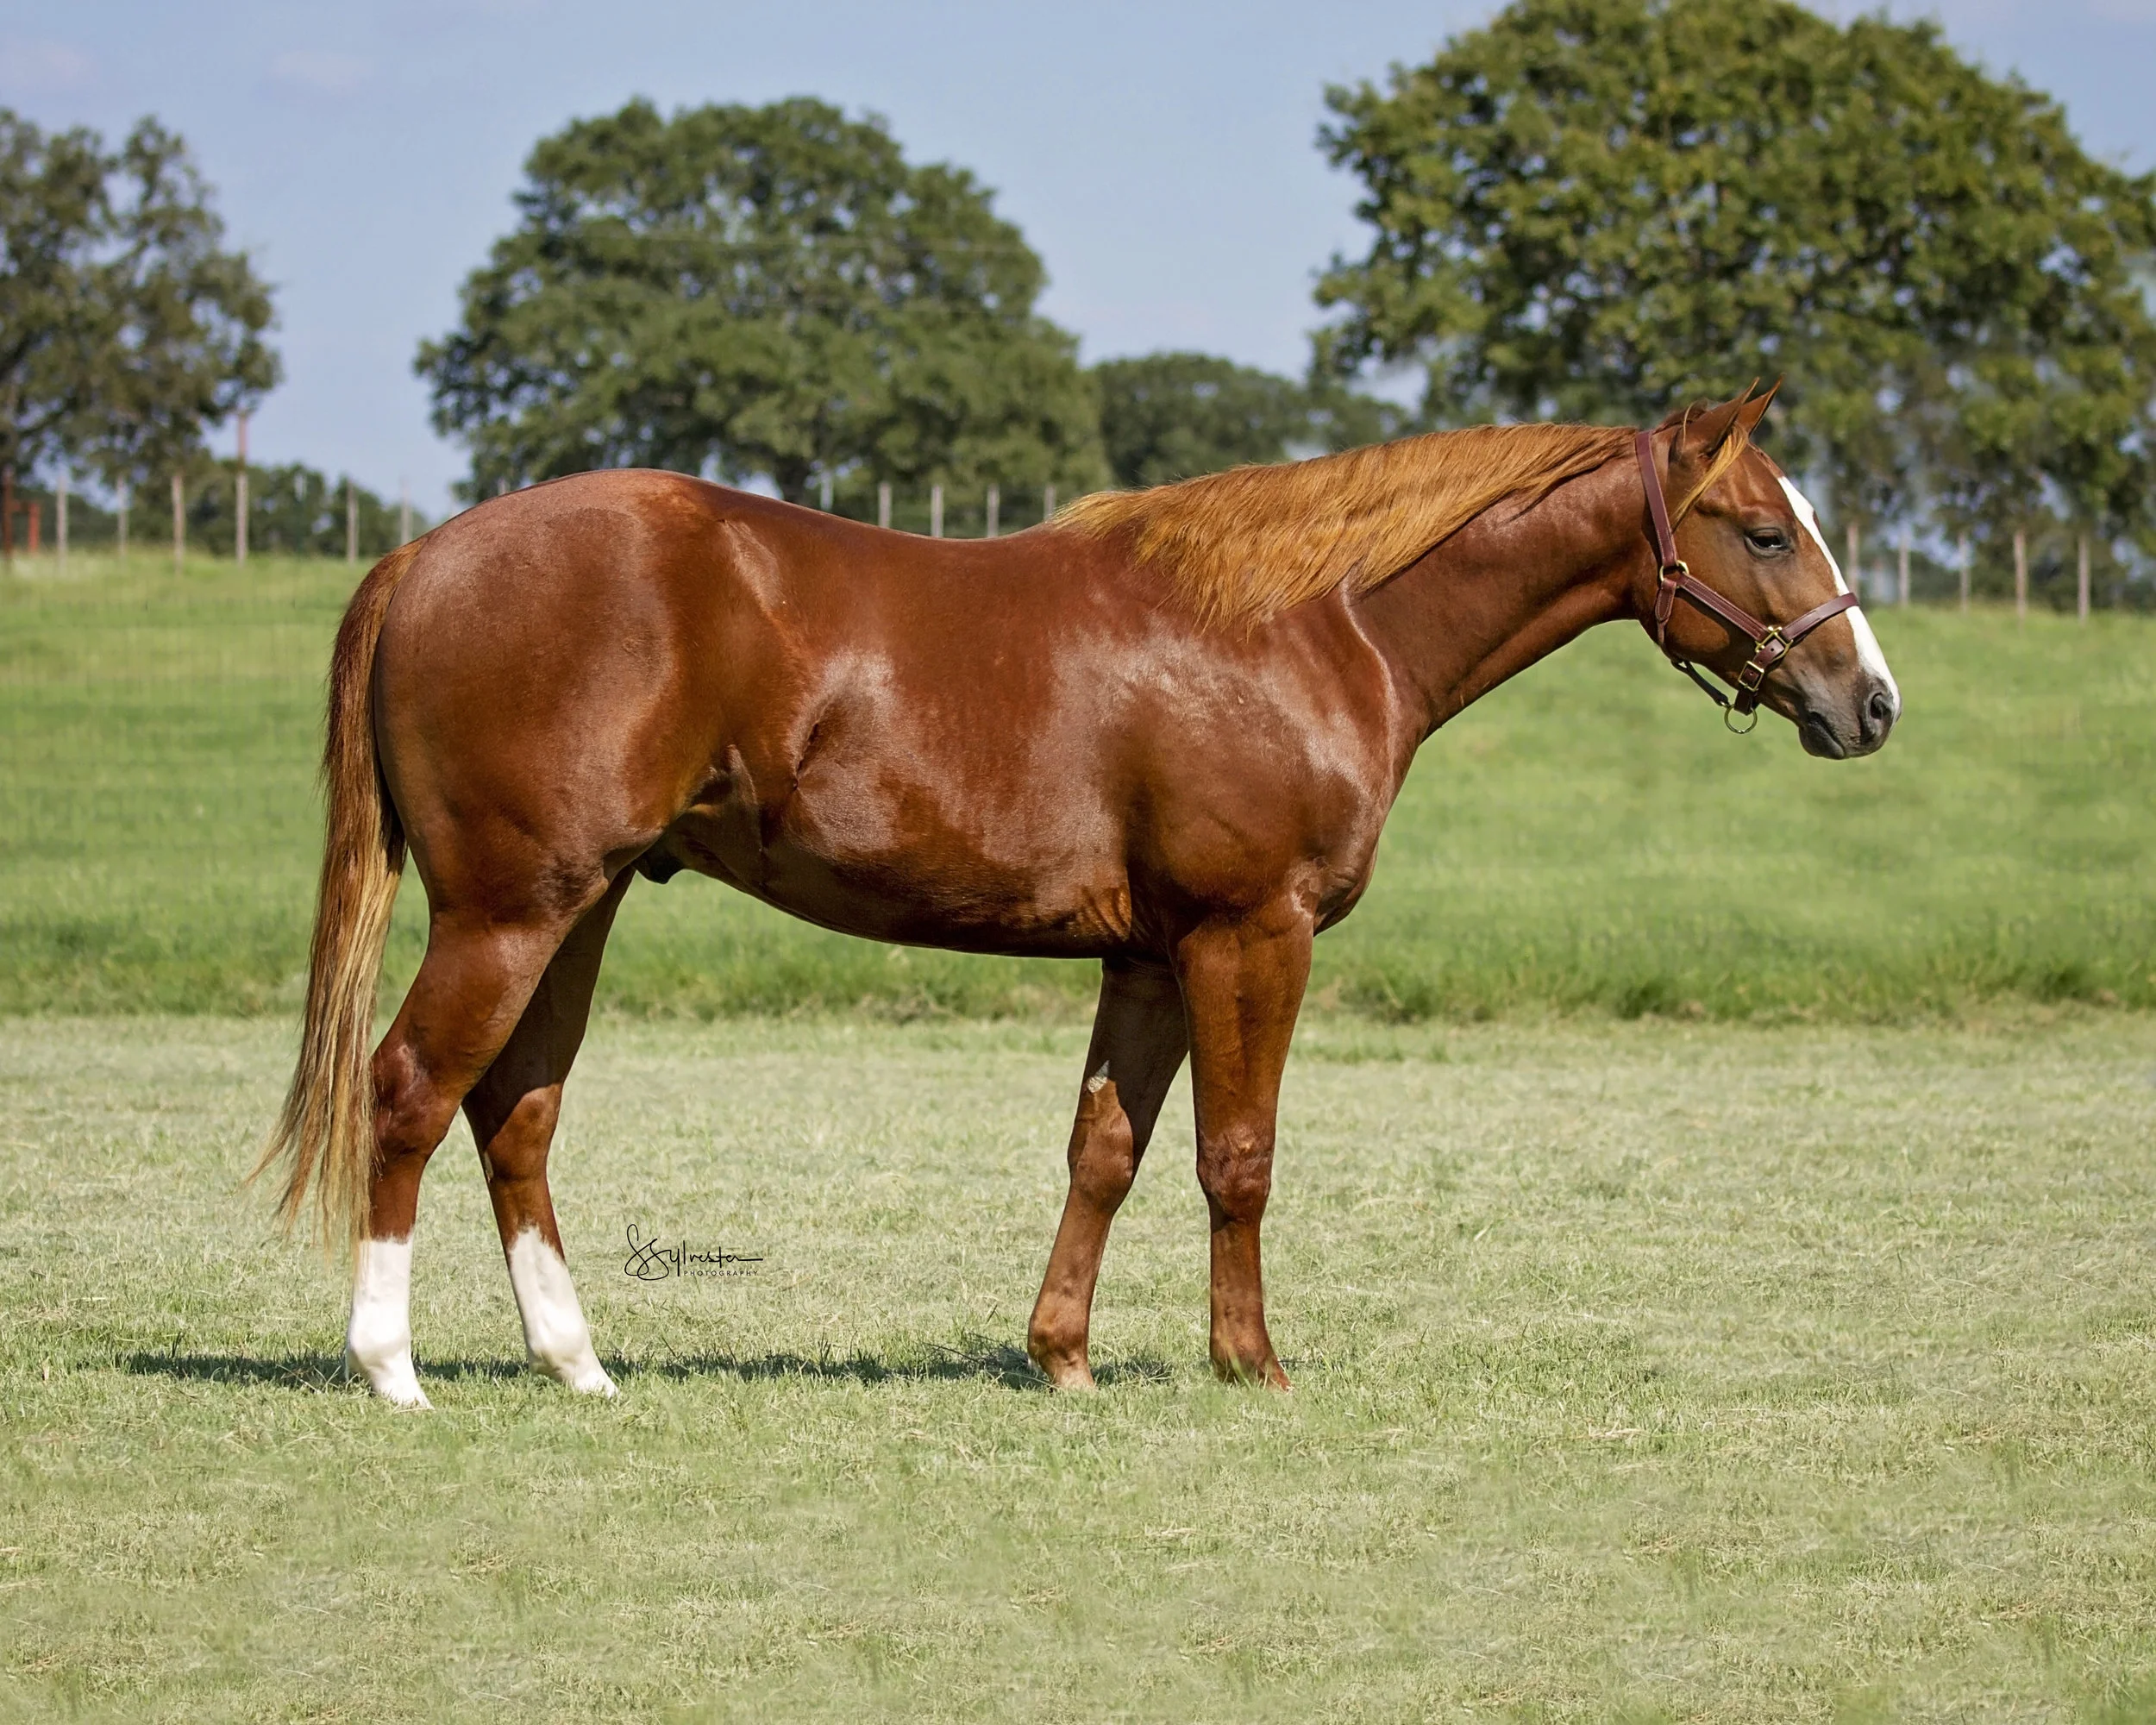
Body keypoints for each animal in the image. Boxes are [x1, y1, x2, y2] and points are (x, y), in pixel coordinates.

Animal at [256, 384, 1898, 1408]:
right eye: (1765, 529)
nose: (1869, 703)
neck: (1308, 625)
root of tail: (421, 557)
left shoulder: (1154, 958)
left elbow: (1105, 1151)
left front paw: (1062, 1356)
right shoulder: (1252, 936)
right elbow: (1239, 1158)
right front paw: (1252, 1365)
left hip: (582, 907)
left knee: (514, 1111)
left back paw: (579, 1365)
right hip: (510, 913)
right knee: (409, 1091)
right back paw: (389, 1369)